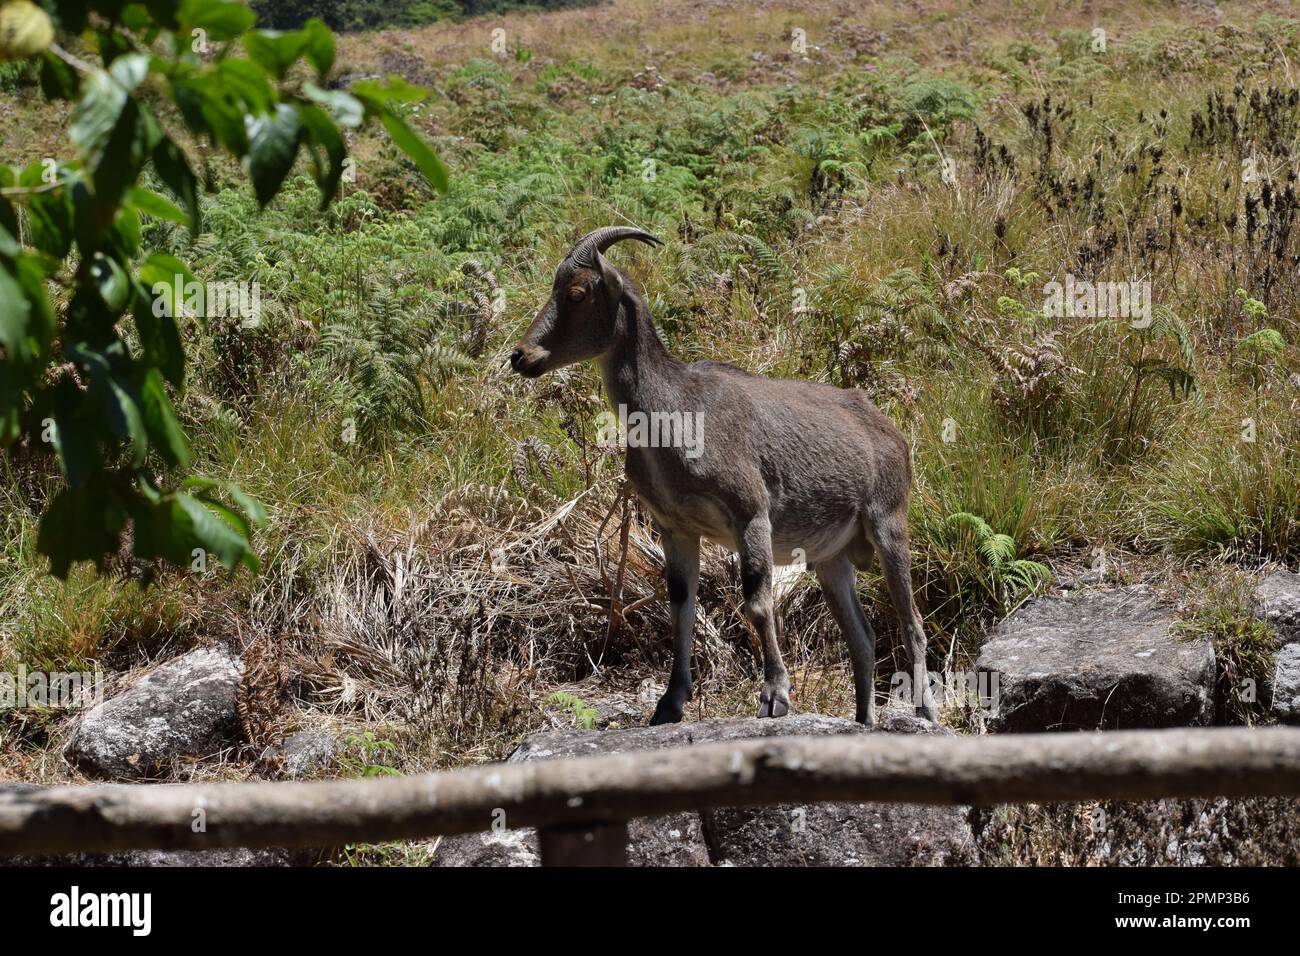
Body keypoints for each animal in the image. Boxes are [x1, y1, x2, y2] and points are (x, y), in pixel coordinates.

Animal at [510, 226, 936, 726]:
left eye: (576, 293)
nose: (521, 355)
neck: (673, 414)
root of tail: (893, 433)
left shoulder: (750, 513)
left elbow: (757, 604)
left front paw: (775, 695)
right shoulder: (676, 528)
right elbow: (682, 606)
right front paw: (669, 703)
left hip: (889, 524)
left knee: (912, 625)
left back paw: (925, 711)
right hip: (832, 558)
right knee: (863, 637)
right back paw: (864, 720)